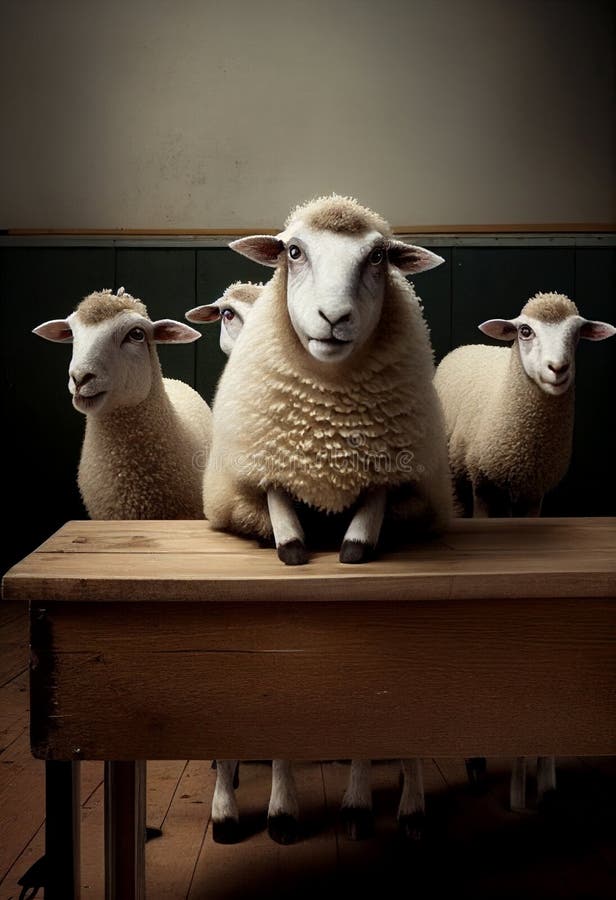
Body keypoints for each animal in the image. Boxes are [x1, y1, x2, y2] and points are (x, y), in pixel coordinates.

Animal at [433, 291, 615, 810]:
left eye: (579, 333)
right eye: (525, 331)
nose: (558, 369)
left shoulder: (534, 496)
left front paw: (540, 774)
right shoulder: (484, 488)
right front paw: (486, 764)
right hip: (459, 478)